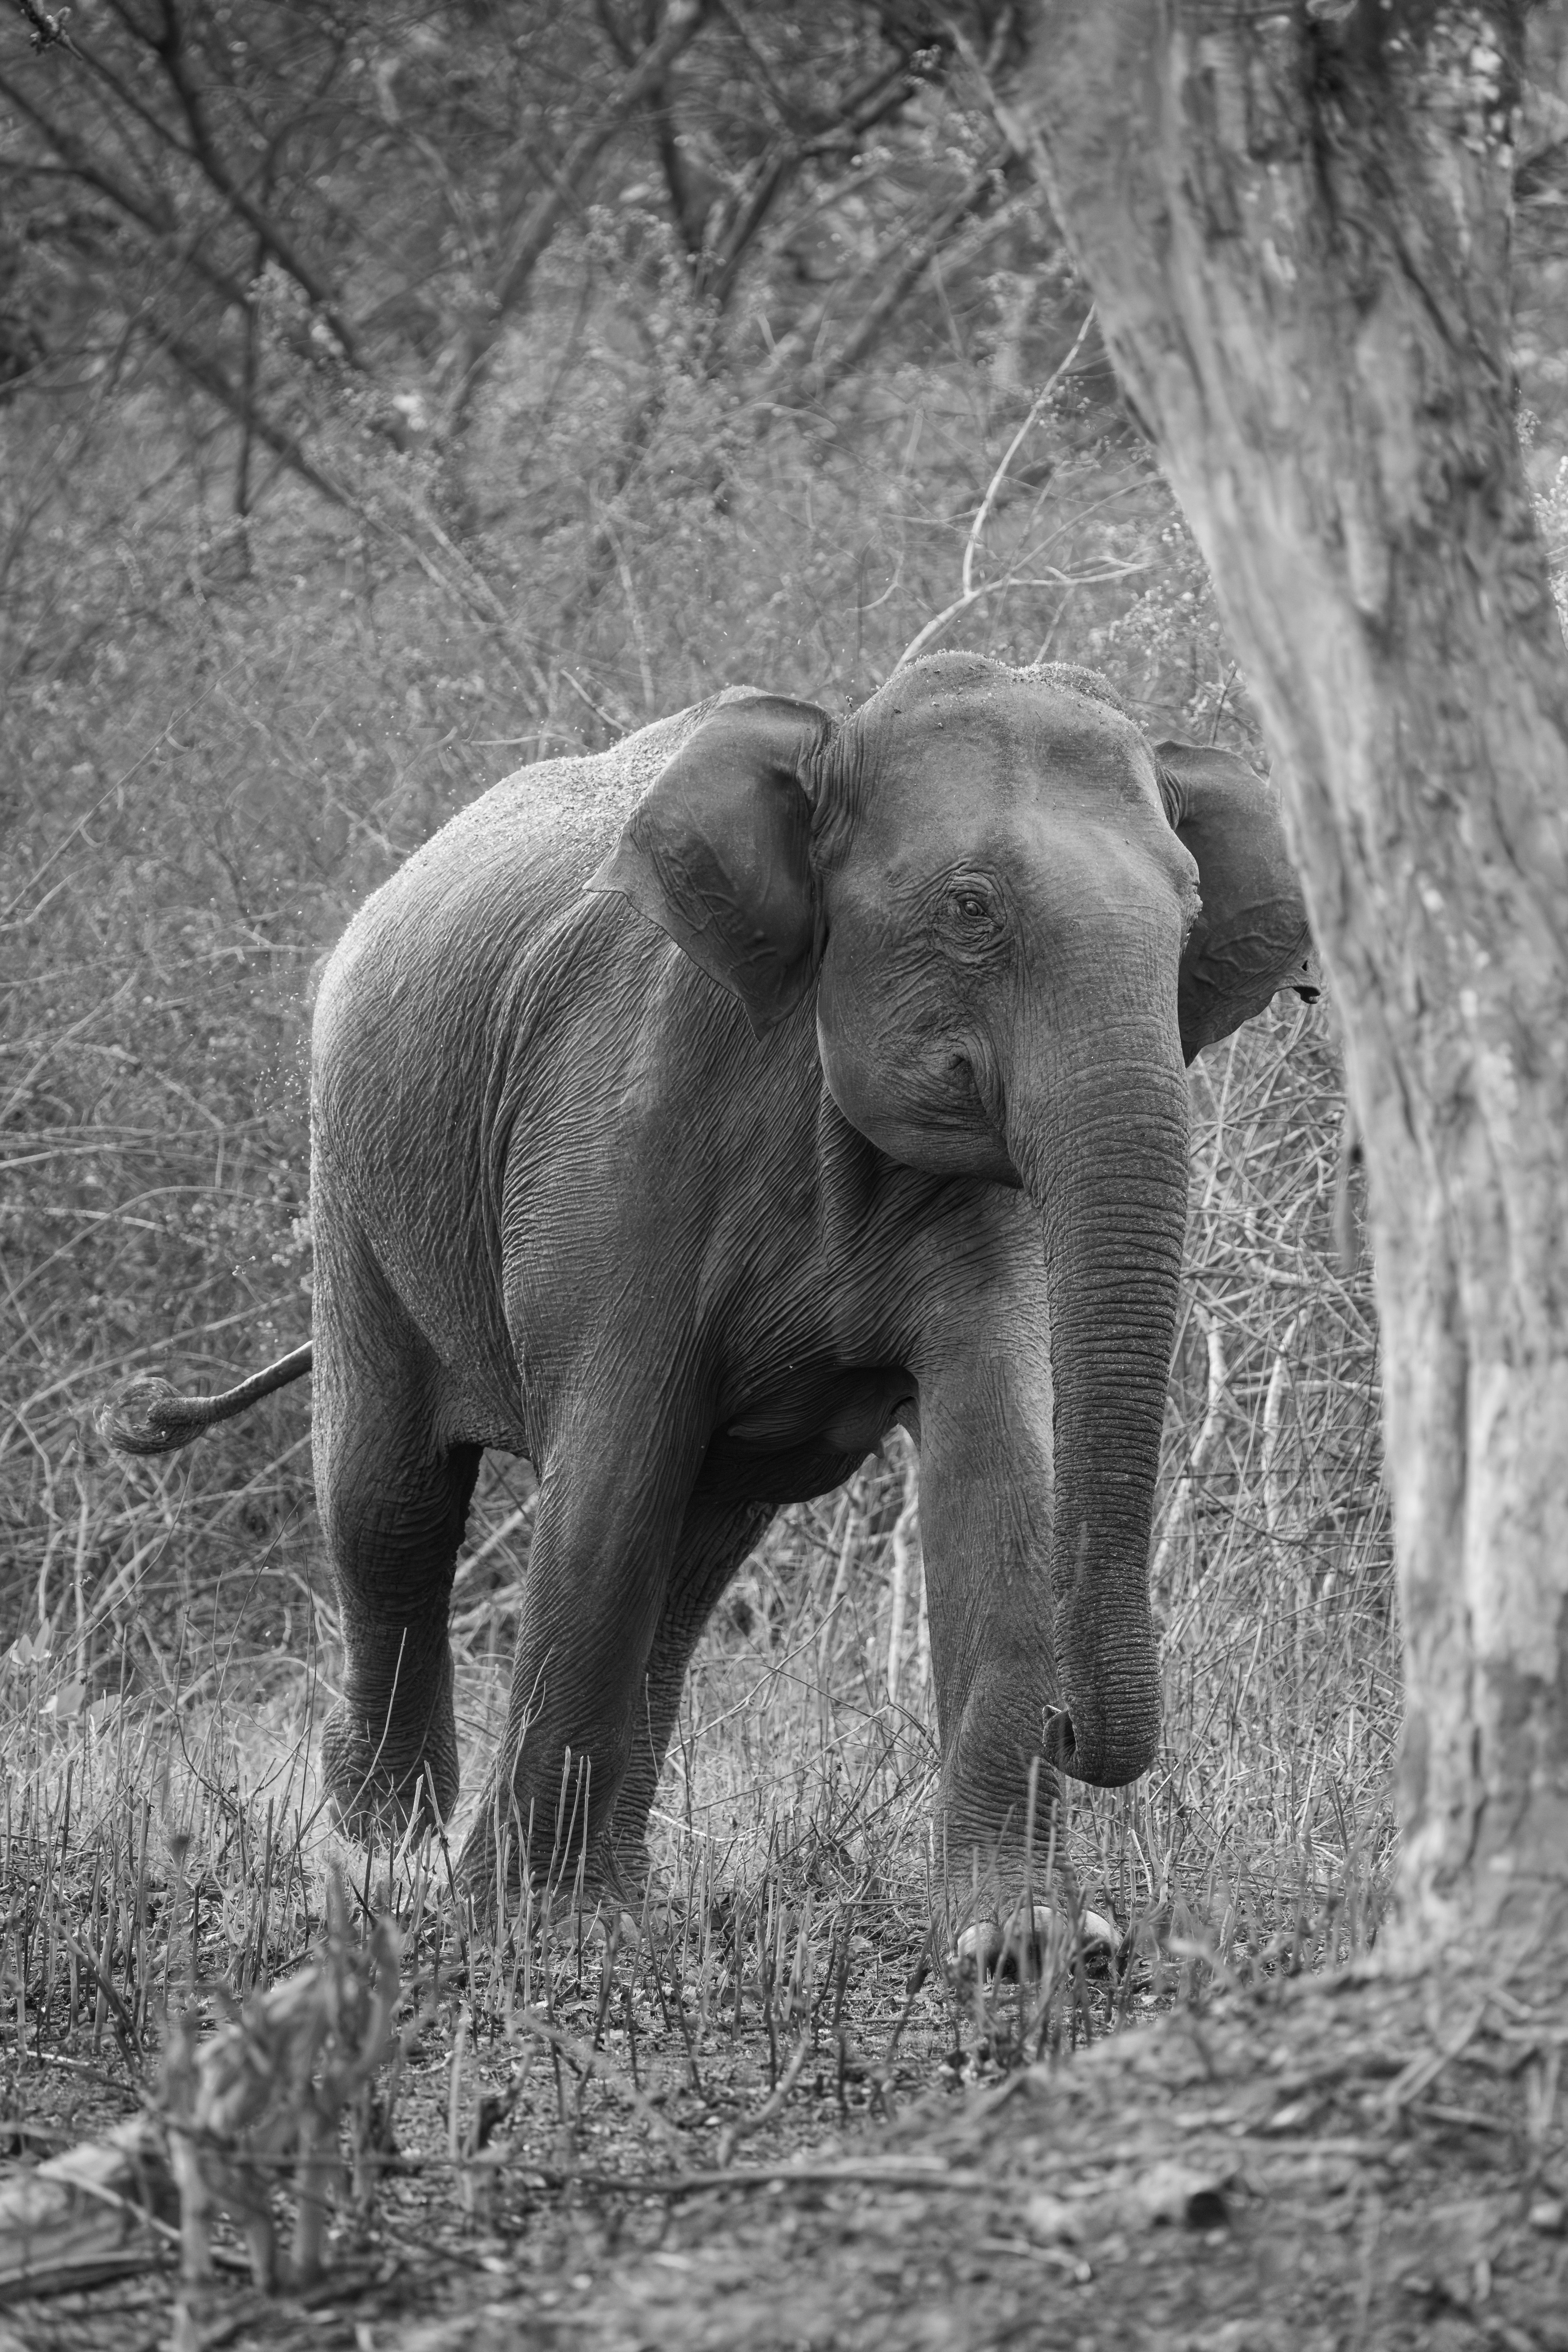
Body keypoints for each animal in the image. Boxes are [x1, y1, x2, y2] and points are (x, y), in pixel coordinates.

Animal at [105, 654, 1316, 1919]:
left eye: (1188, 916)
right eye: (971, 907)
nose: (1074, 1729)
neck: (840, 738)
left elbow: (1000, 1452)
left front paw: (1021, 1934)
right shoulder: (622, 1111)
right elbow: (612, 1457)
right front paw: (512, 1918)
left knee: (691, 1555)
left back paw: (604, 1887)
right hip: (354, 1184)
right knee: (390, 1499)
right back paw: (386, 1841)